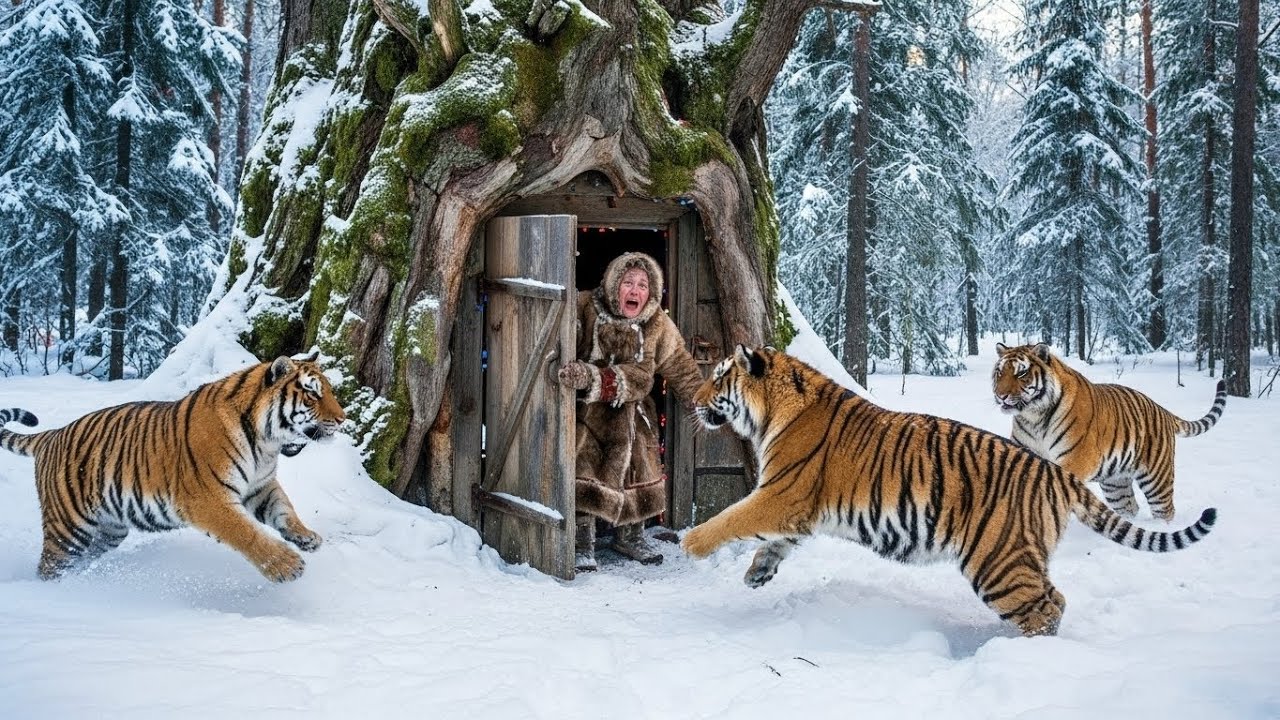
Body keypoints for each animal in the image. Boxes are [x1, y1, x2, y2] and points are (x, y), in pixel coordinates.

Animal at [0, 353, 345, 582]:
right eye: (313, 393)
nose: (342, 419)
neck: (266, 443)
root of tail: (52, 434)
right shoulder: (209, 499)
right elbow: (247, 533)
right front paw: (286, 565)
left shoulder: (260, 487)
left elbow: (284, 509)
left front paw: (306, 537)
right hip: (68, 530)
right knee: (49, 567)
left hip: (107, 530)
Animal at [992, 342, 1226, 521]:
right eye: (1000, 372)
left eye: (1022, 373)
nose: (1000, 395)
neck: (1034, 417)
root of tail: (1162, 410)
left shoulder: (1075, 460)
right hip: (1116, 484)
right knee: (1131, 508)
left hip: (1157, 478)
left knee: (1165, 510)